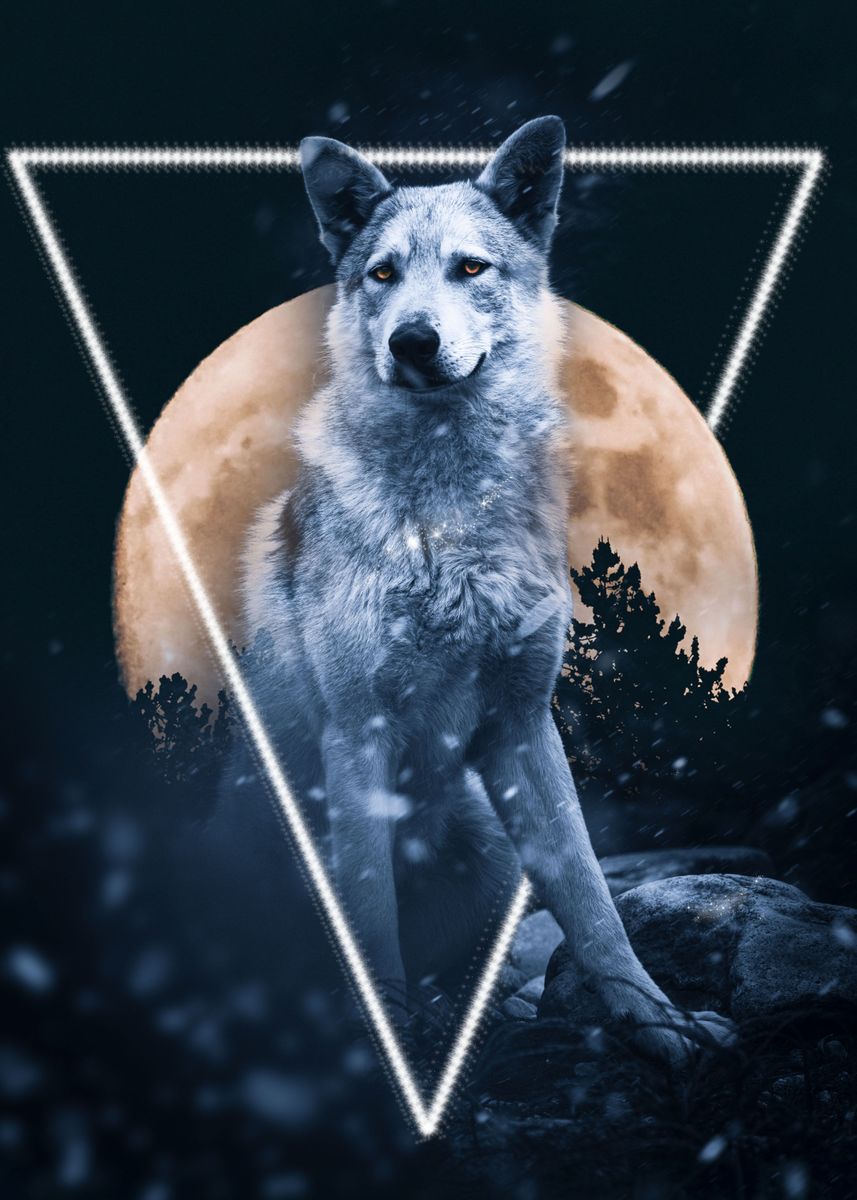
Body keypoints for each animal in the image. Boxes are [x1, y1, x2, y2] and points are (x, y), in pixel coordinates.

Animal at [219, 117, 732, 1064]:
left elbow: (592, 900)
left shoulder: (523, 727)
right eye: (383, 273)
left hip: (490, 843)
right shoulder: (358, 739)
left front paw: (657, 1019)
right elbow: (370, 919)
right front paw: (386, 1046)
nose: (412, 341)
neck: (449, 523)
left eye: (469, 268)